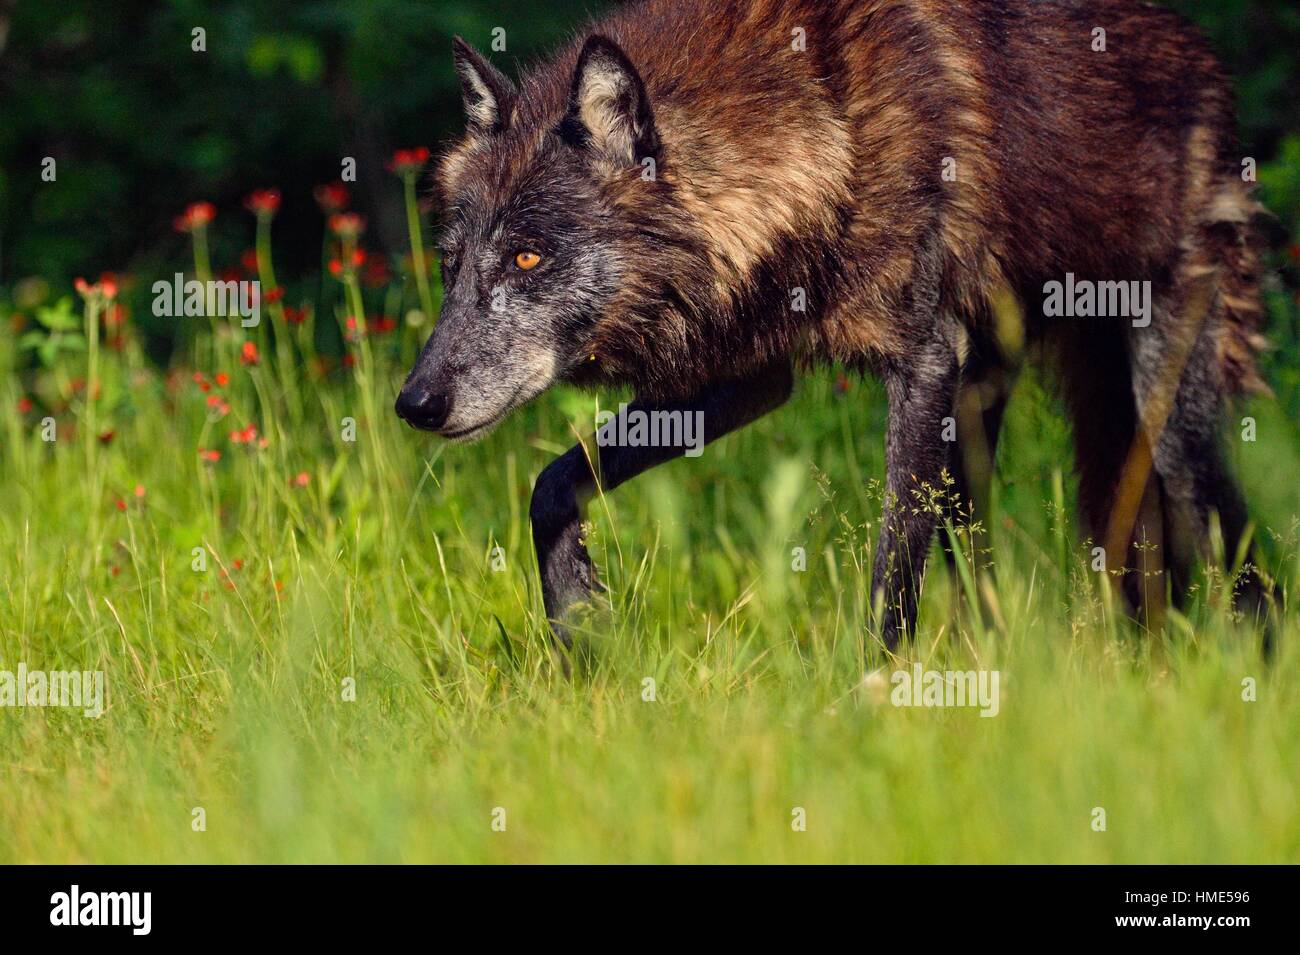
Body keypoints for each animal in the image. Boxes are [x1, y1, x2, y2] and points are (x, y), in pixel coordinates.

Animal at [395, 0, 1271, 649]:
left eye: (528, 258)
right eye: (451, 264)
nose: (415, 403)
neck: (829, 132)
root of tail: (1200, 51)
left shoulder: (923, 361)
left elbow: (891, 574)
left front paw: (870, 701)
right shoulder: (748, 376)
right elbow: (551, 482)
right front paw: (579, 623)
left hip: (1162, 416)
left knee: (1238, 547)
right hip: (981, 415)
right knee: (979, 557)